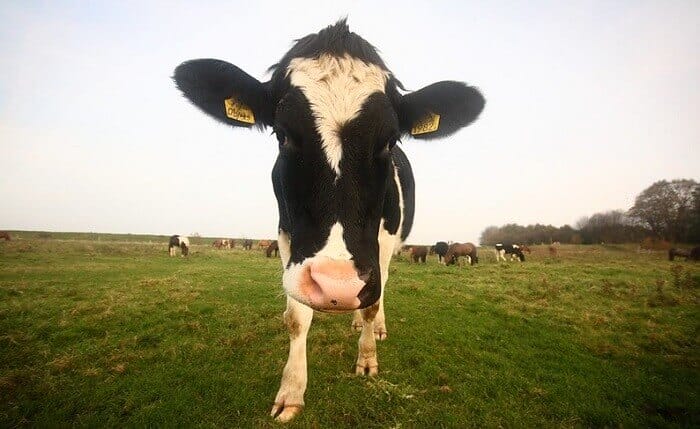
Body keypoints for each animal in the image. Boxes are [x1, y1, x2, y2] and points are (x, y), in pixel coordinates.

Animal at [174, 20, 484, 422]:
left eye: (389, 141)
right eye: (282, 134)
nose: (338, 287)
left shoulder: (381, 245)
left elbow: (372, 302)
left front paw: (367, 360)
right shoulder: (290, 239)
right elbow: (296, 317)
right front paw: (291, 392)